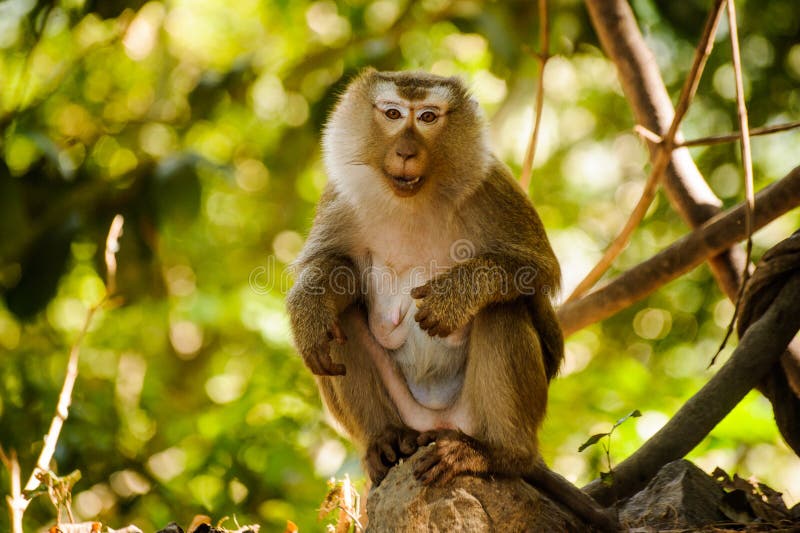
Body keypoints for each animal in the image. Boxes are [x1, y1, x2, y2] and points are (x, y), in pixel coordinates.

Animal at [286, 69, 616, 530]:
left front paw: (456, 294)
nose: (406, 151)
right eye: (392, 114)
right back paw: (385, 440)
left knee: (503, 309)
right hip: (413, 417)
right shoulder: (340, 197)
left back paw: (498, 454)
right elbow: (333, 267)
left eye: (427, 117)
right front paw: (310, 314)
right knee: (344, 320)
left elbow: (537, 271)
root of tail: (438, 426)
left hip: (471, 419)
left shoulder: (493, 186)